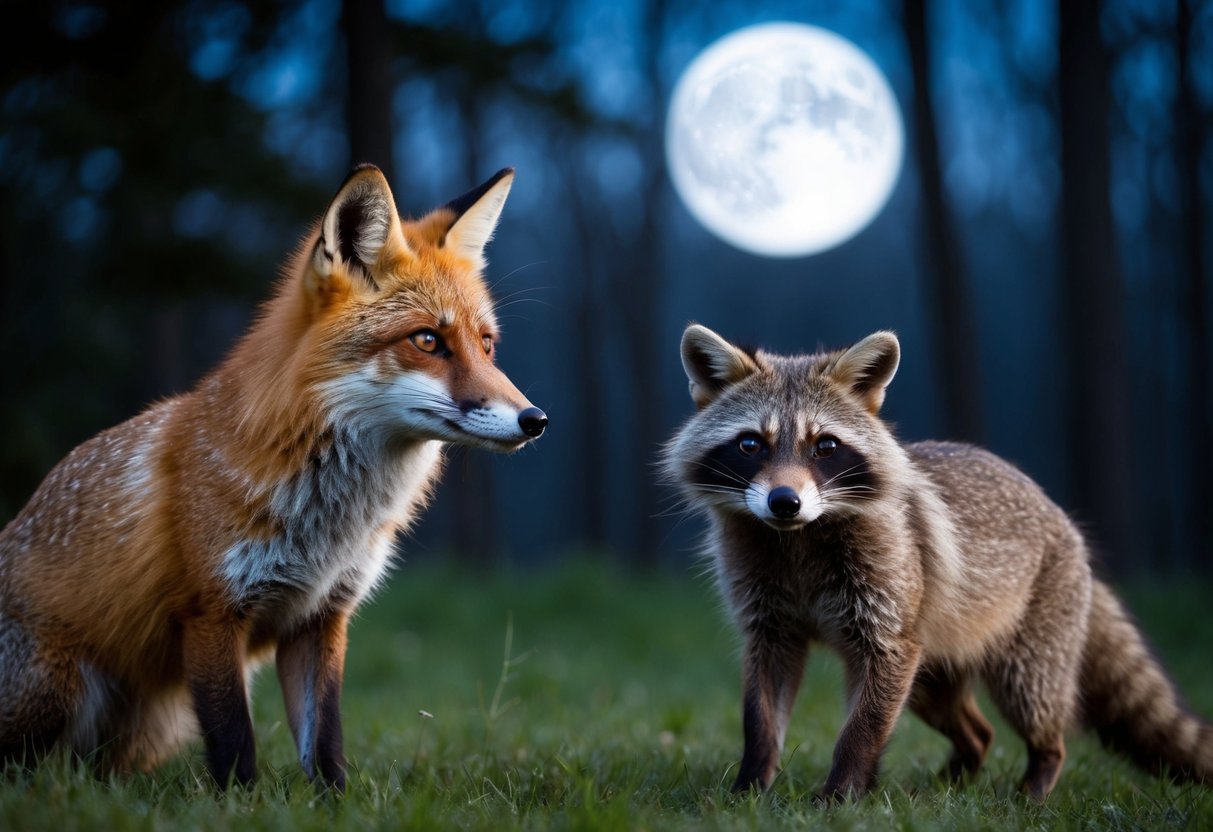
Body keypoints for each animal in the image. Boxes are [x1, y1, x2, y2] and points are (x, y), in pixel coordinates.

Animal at [0, 164, 547, 790]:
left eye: (487, 344)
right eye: (428, 340)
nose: (536, 420)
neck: (327, 520)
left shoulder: (321, 615)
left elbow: (325, 741)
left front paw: (333, 801)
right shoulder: (211, 612)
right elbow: (235, 740)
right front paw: (239, 802)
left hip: (150, 727)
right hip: (56, 691)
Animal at [663, 323, 1212, 801]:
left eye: (825, 446)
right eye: (751, 444)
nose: (784, 502)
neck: (797, 542)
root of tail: (1064, 522)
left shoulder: (887, 627)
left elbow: (863, 729)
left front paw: (842, 793)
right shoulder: (771, 626)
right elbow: (762, 719)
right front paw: (751, 786)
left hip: (1019, 657)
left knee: (1042, 722)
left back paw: (1035, 785)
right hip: (930, 674)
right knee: (978, 731)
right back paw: (953, 778)